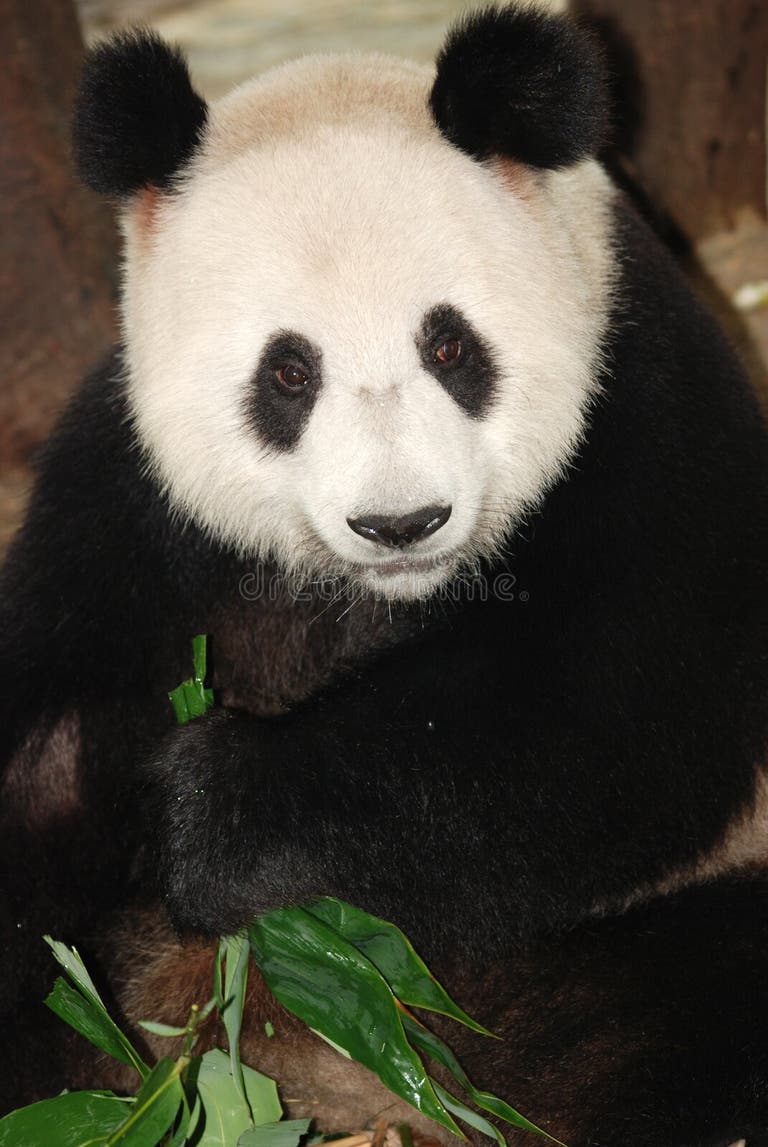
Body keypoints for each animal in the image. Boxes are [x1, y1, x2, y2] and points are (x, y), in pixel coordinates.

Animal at [2, 4, 768, 1144]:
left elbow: (608, 724)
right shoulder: (130, 509)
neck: (373, 596)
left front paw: (207, 818)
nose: (401, 521)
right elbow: (41, 760)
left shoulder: (646, 415)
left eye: (449, 346)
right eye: (288, 371)